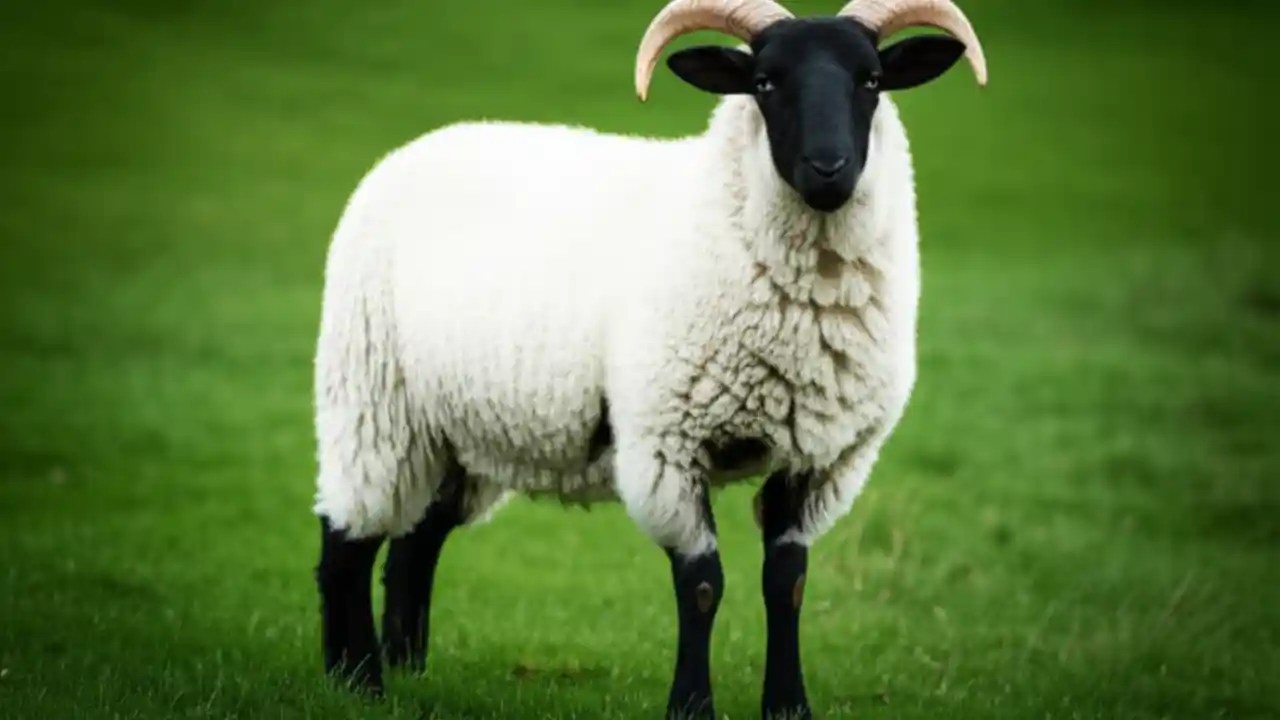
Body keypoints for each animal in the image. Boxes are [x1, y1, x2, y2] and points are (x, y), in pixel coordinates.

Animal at [311, 0, 987, 717]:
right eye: (764, 83)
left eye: (872, 80)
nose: (828, 168)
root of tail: (413, 149)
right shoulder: (668, 442)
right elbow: (702, 585)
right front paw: (690, 705)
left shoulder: (821, 459)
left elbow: (788, 582)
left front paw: (787, 705)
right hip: (373, 399)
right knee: (347, 539)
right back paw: (357, 680)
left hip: (459, 432)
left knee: (415, 543)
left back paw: (407, 669)